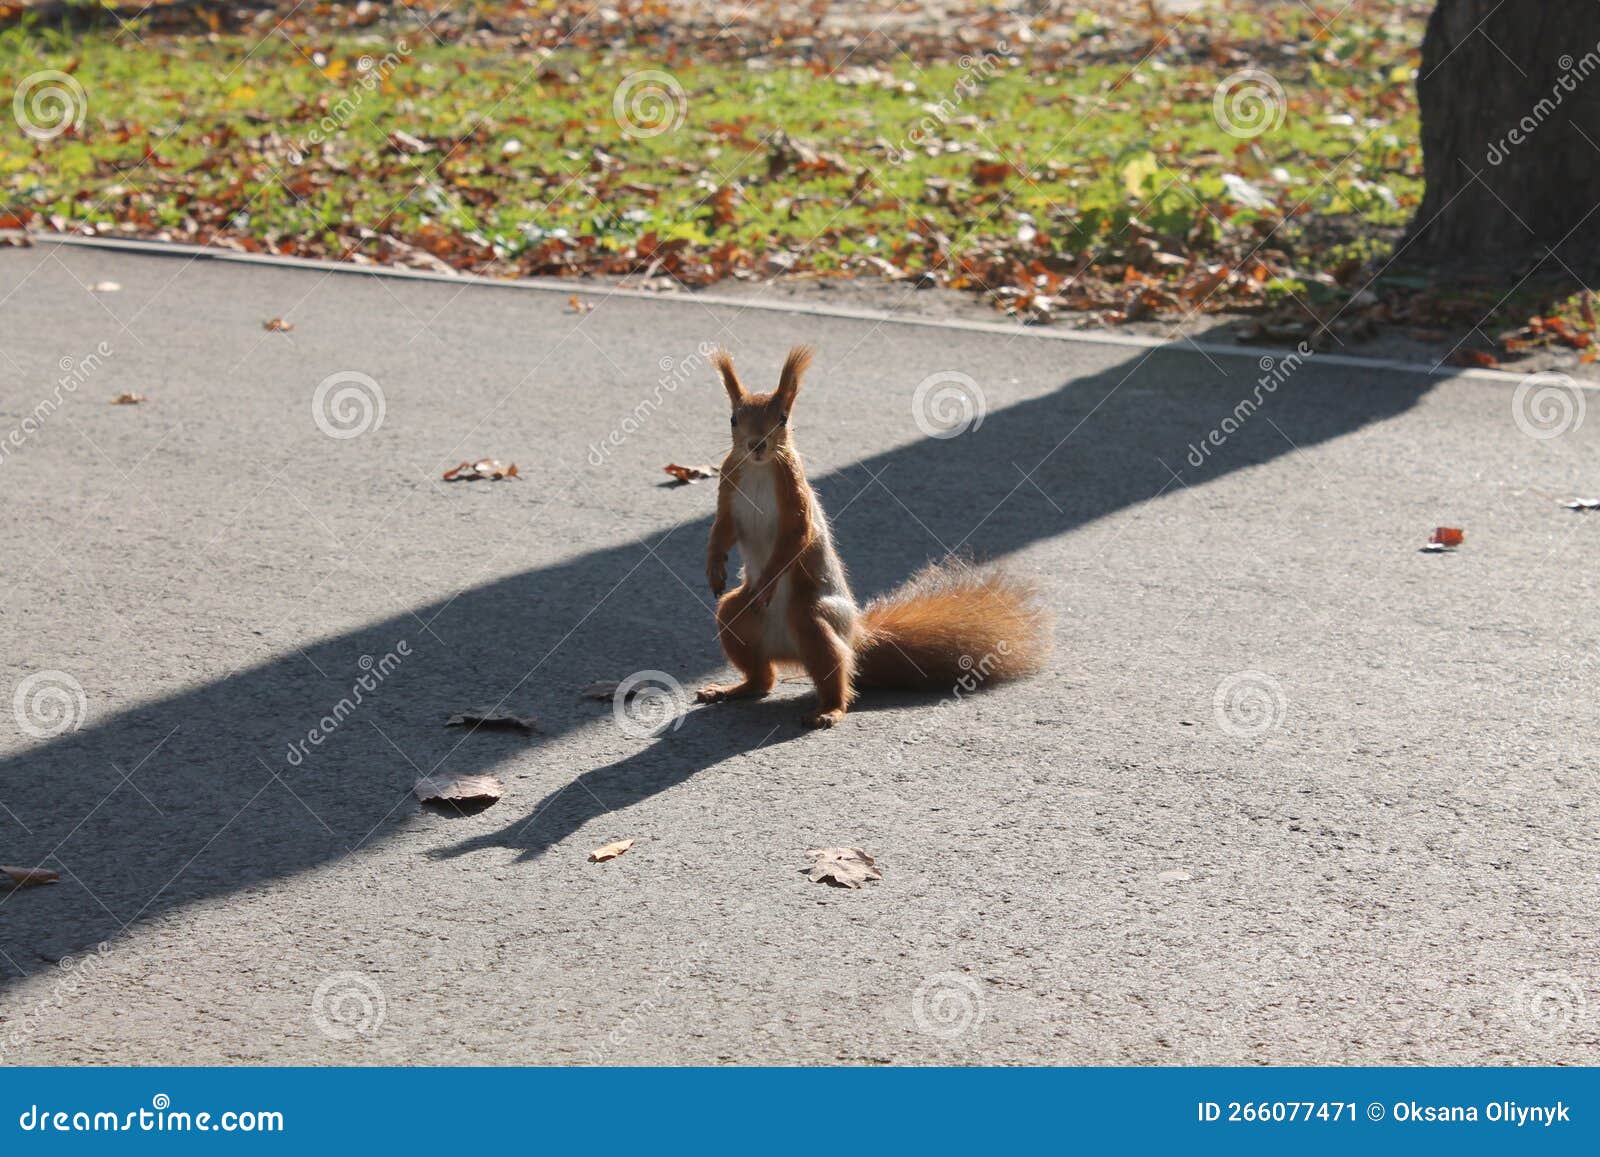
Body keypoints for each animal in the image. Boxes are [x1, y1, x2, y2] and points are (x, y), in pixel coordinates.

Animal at [695, 345, 1052, 729]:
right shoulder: (730, 481)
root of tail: (855, 636)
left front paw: (769, 582)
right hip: (734, 615)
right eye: (733, 419)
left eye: (783, 419)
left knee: (835, 677)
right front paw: (714, 566)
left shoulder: (794, 494)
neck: (759, 468)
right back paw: (731, 689)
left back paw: (828, 710)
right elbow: (722, 528)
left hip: (813, 618)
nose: (756, 444)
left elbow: (798, 536)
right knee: (762, 678)